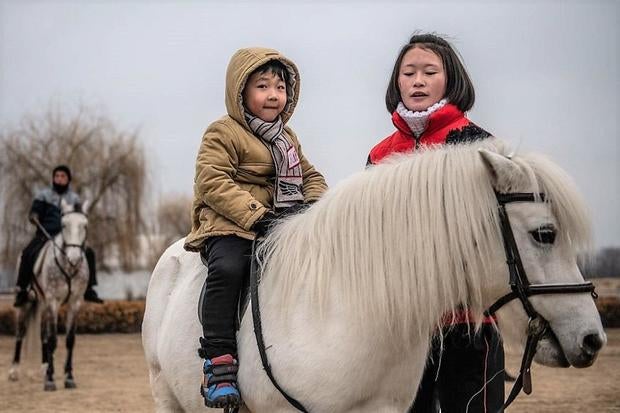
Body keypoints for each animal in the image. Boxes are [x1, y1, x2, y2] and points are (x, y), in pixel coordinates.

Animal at [8, 199, 89, 390]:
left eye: (85, 225)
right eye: (64, 224)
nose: (74, 258)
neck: (69, 268)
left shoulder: (75, 303)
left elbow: (69, 339)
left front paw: (68, 377)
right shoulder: (53, 301)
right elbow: (52, 339)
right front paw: (50, 380)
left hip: (42, 304)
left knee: (42, 334)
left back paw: (44, 366)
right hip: (26, 303)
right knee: (20, 333)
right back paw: (15, 371)